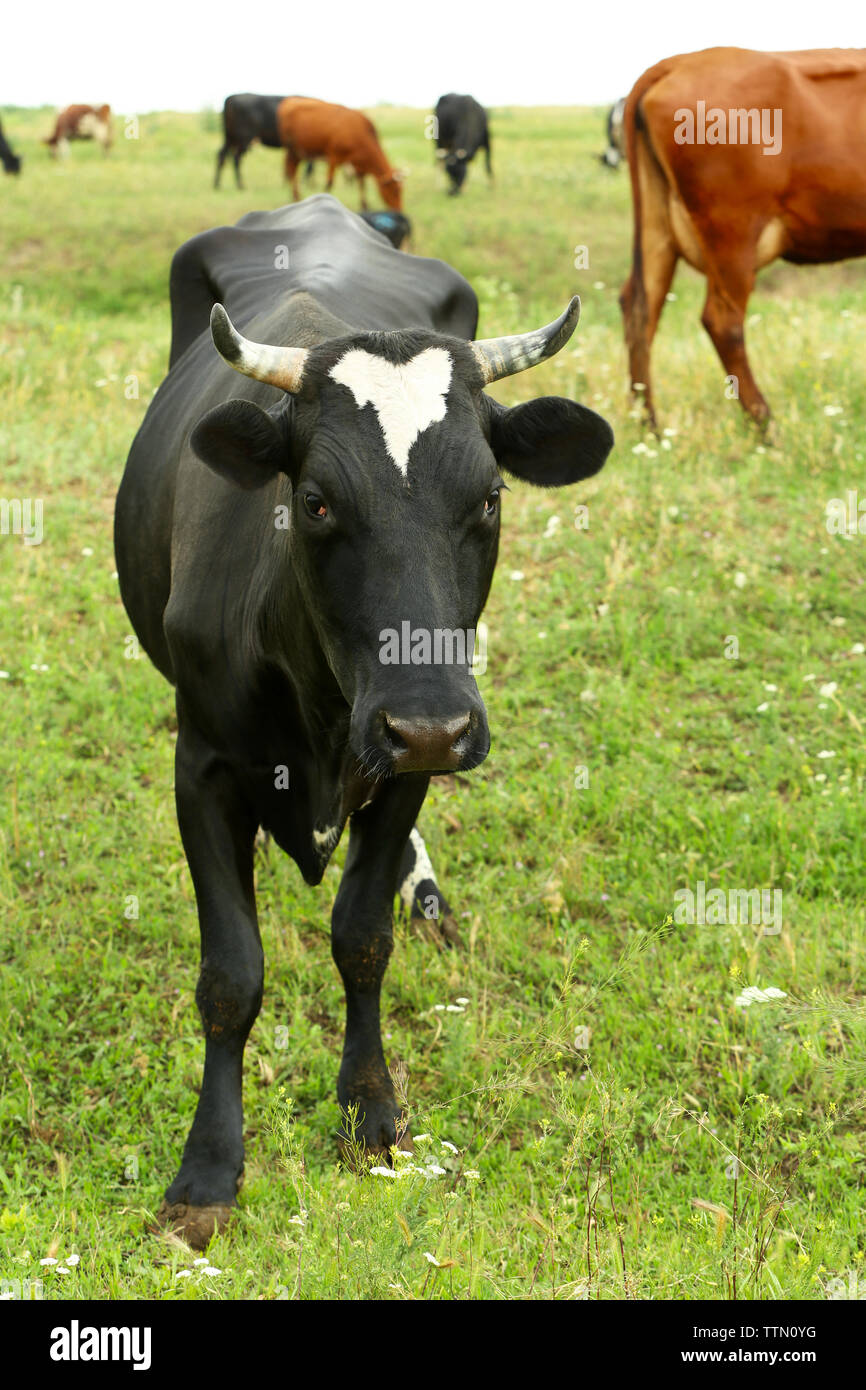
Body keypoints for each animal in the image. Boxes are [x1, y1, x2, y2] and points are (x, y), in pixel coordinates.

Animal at [114, 193, 613, 1249]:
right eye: (314, 502)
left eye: (491, 498)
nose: (428, 723)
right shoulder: (202, 766)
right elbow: (231, 975)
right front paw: (207, 1171)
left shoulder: (408, 762)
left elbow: (361, 935)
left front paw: (371, 1109)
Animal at [619, 47, 866, 424]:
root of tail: (678, 62)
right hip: (732, 231)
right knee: (722, 321)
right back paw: (766, 424)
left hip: (657, 224)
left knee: (641, 308)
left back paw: (651, 428)